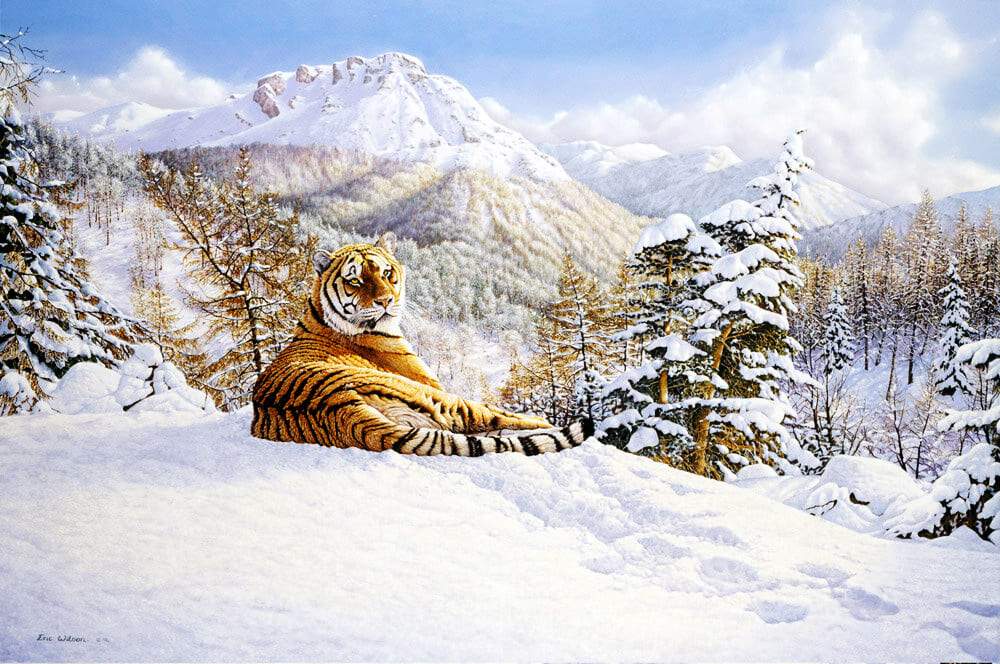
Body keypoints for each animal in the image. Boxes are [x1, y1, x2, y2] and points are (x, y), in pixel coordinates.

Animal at [251, 232, 593, 456]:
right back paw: (551, 423)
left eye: (387, 272)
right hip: (442, 400)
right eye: (355, 280)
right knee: (496, 418)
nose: (386, 300)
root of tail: (338, 409)